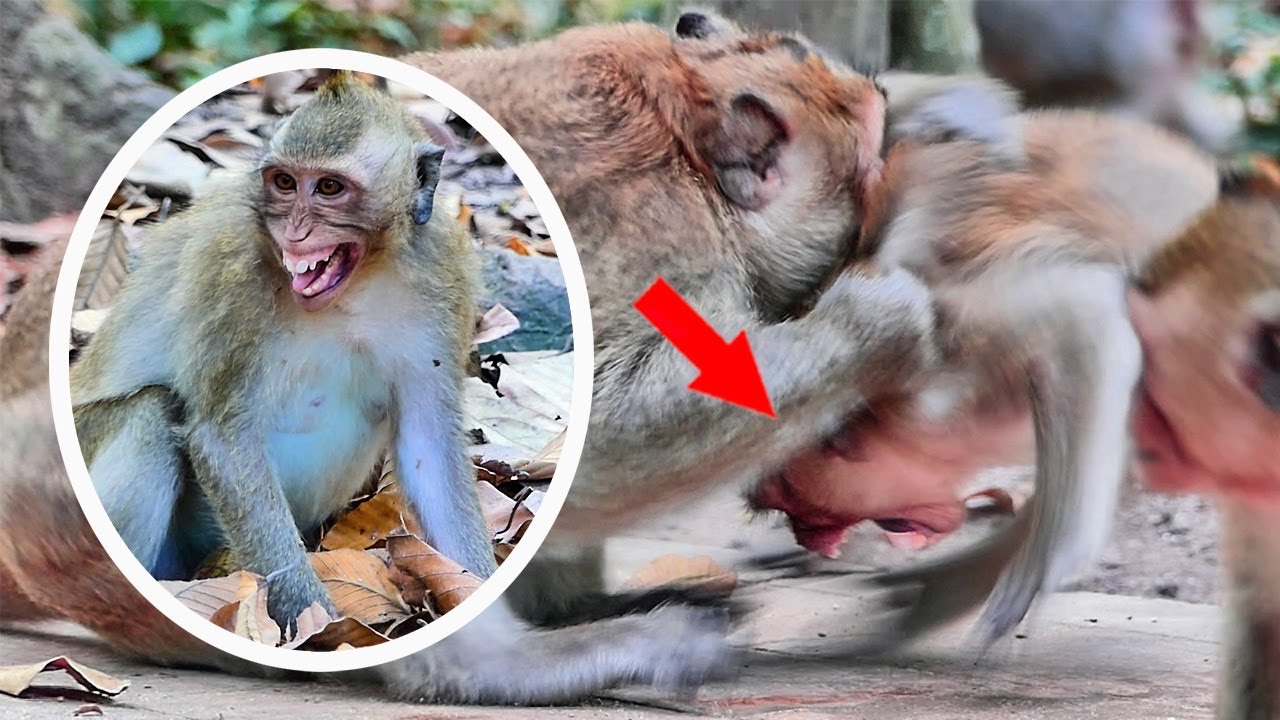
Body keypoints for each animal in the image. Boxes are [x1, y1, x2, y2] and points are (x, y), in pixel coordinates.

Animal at [66, 71, 497, 629]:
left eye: (329, 187)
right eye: (285, 183)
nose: (294, 231)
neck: (357, 283)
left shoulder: (442, 272)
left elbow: (430, 445)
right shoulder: (230, 270)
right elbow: (224, 442)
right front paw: (324, 629)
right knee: (150, 412)